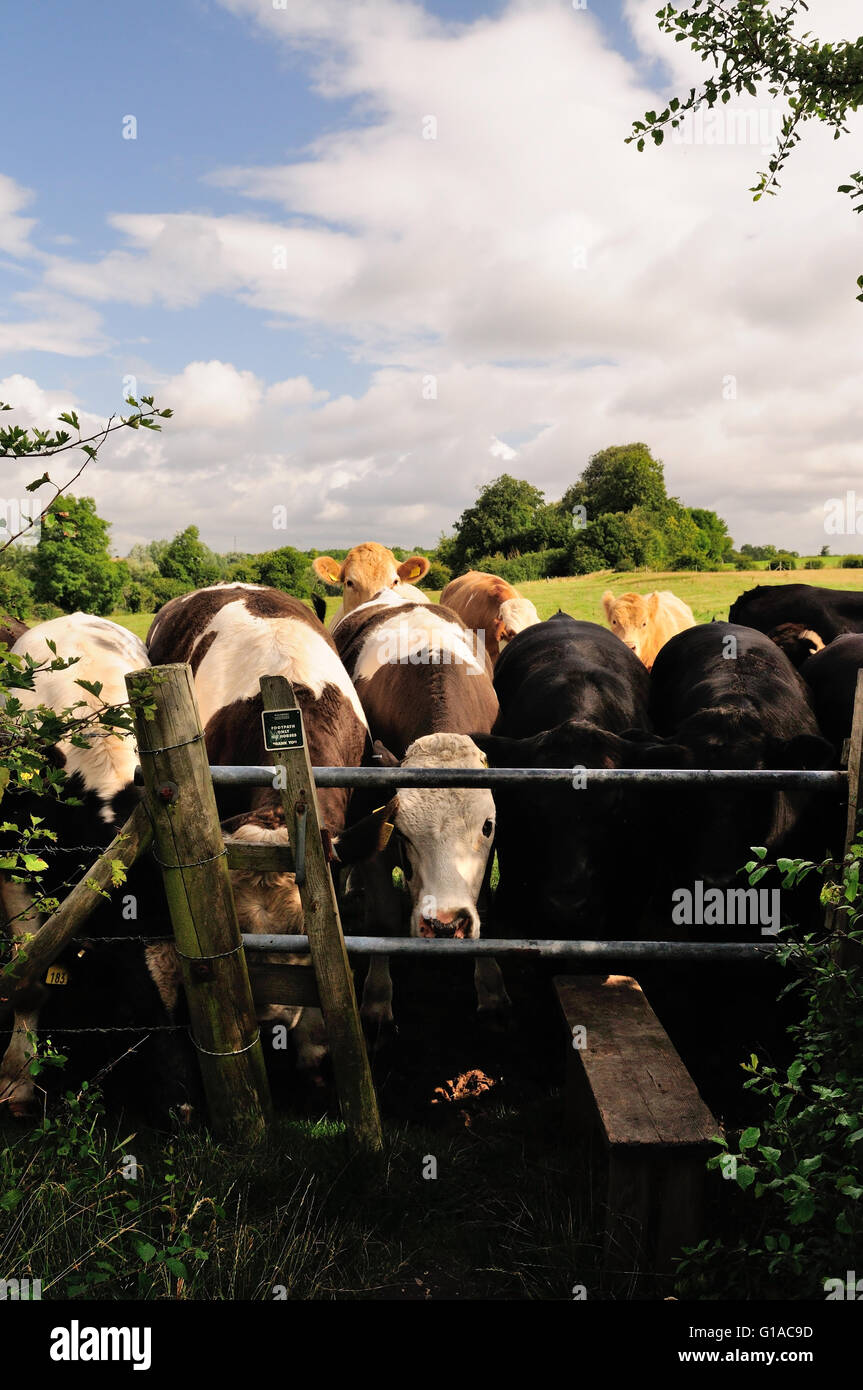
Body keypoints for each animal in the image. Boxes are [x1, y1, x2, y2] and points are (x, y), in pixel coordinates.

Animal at [331, 596, 507, 1031]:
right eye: (401, 834)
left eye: (487, 826)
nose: (443, 924)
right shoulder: (373, 824)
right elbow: (382, 918)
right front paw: (377, 1000)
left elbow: (485, 906)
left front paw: (490, 986)